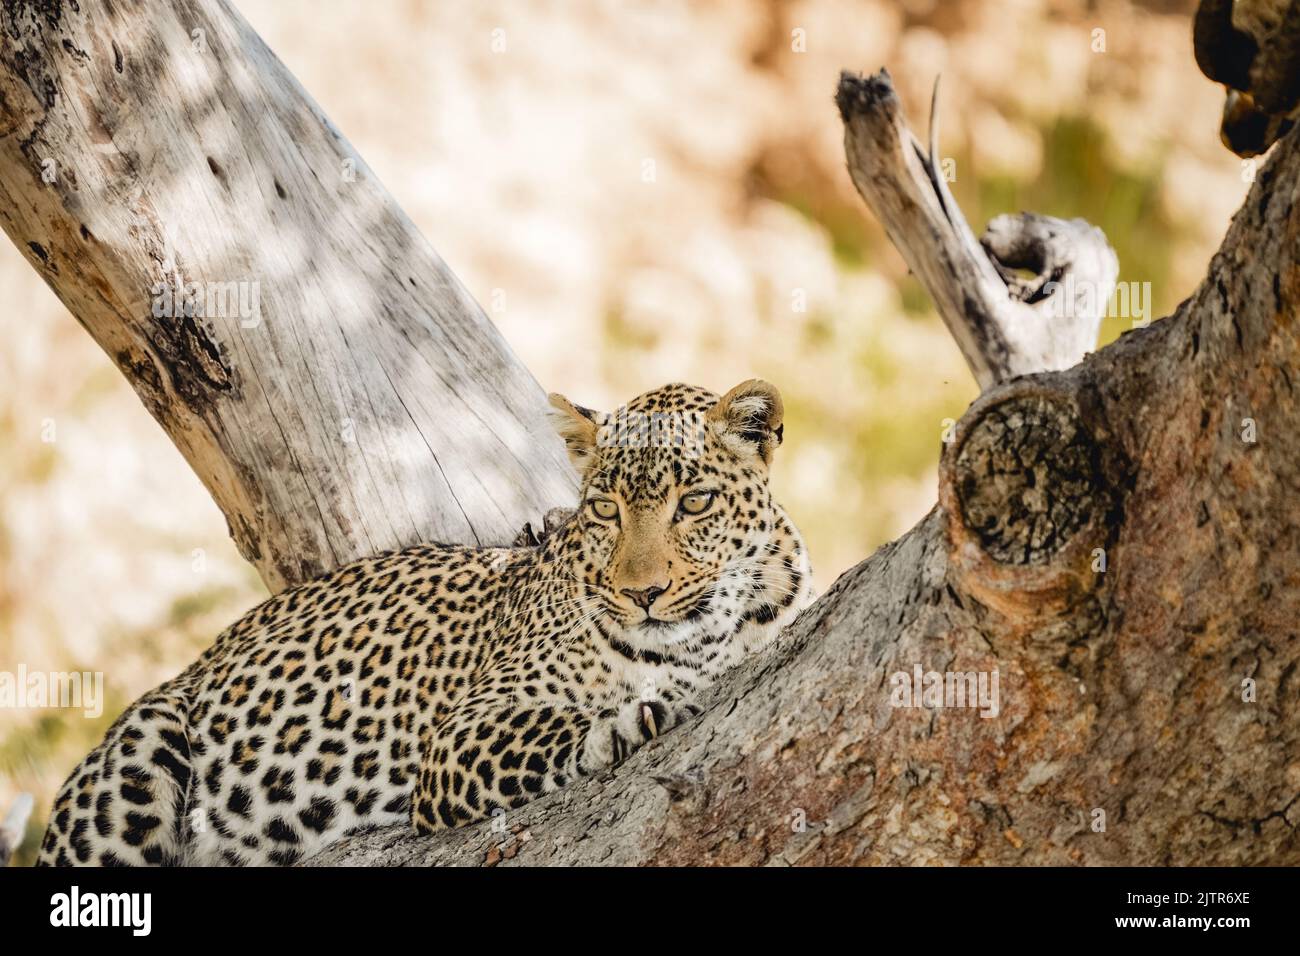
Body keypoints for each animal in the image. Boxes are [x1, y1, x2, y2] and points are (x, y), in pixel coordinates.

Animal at [36, 379, 813, 866]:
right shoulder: (460, 732)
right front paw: (628, 719)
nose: (643, 593)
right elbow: (550, 725)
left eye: (694, 502)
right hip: (139, 757)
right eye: (605, 510)